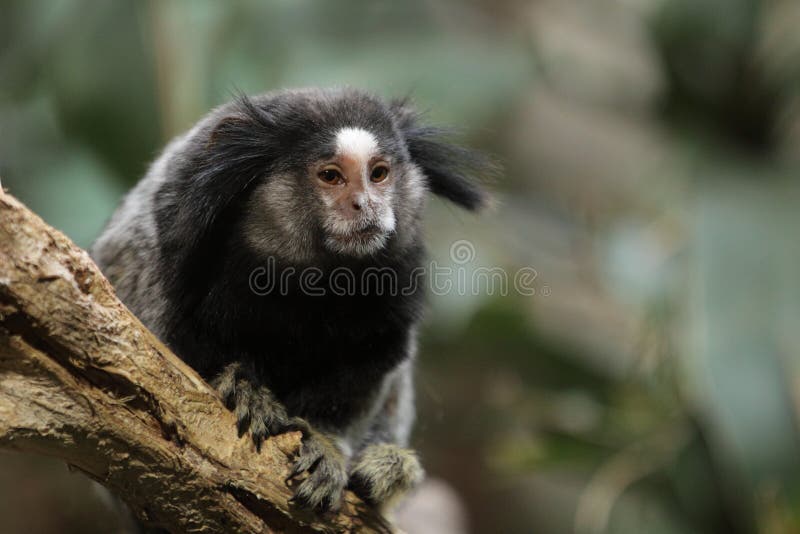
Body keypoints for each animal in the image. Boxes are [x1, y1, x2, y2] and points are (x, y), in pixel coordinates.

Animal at [91, 87, 492, 518]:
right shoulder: (168, 250)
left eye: (379, 173)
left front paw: (327, 443)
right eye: (331, 176)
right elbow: (159, 367)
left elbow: (366, 375)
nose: (366, 205)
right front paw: (246, 390)